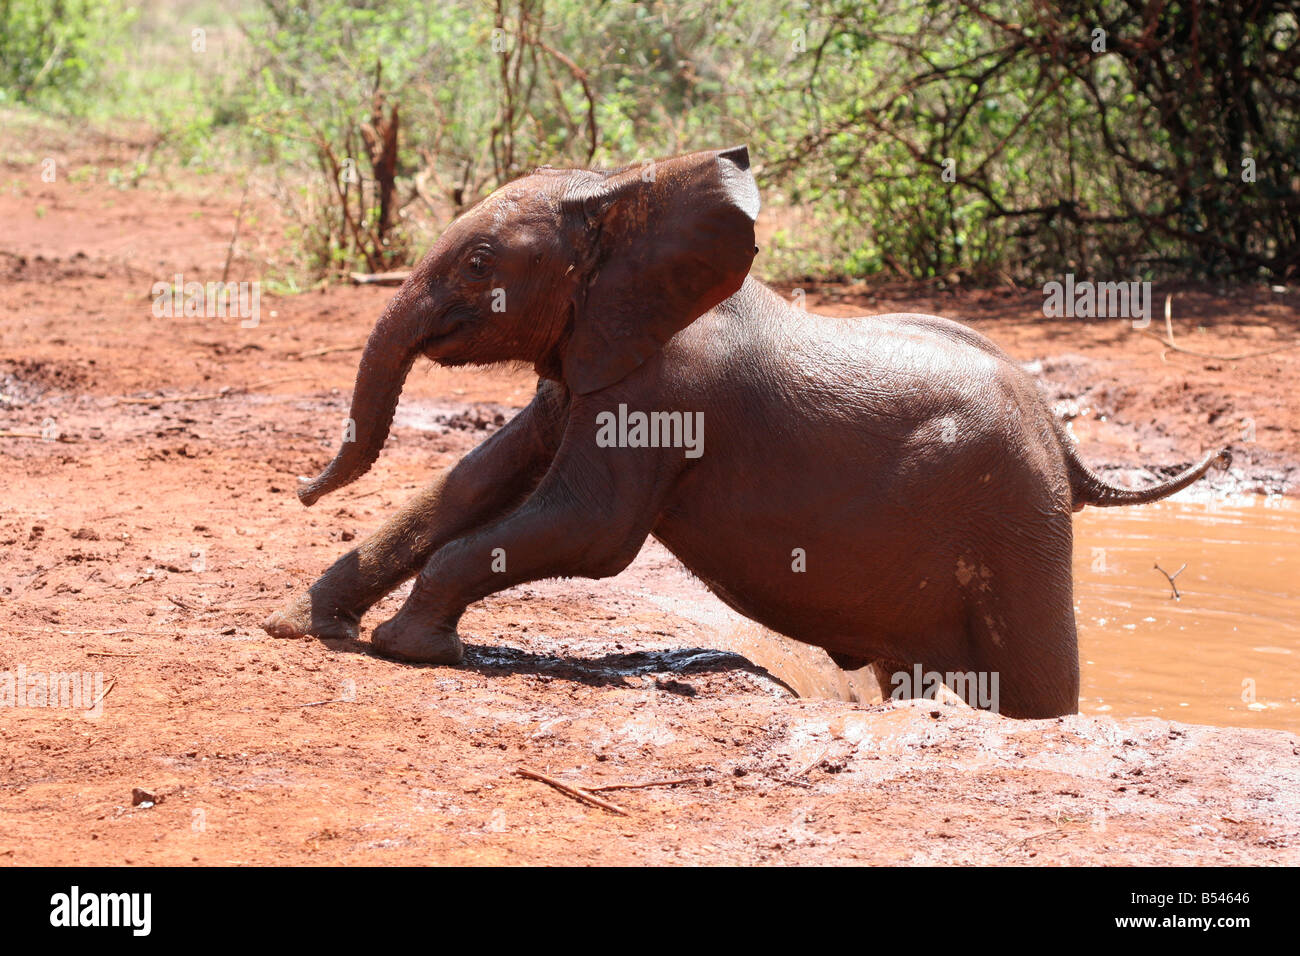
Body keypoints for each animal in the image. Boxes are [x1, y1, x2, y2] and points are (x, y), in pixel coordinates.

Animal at [263, 145, 1229, 719]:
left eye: (477, 263)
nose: (301, 489)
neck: (629, 198)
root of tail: (1064, 441)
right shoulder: (595, 352)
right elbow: (475, 481)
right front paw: (299, 625)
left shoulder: (667, 386)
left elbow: (589, 529)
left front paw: (411, 649)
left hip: (1020, 525)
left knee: (1035, 684)